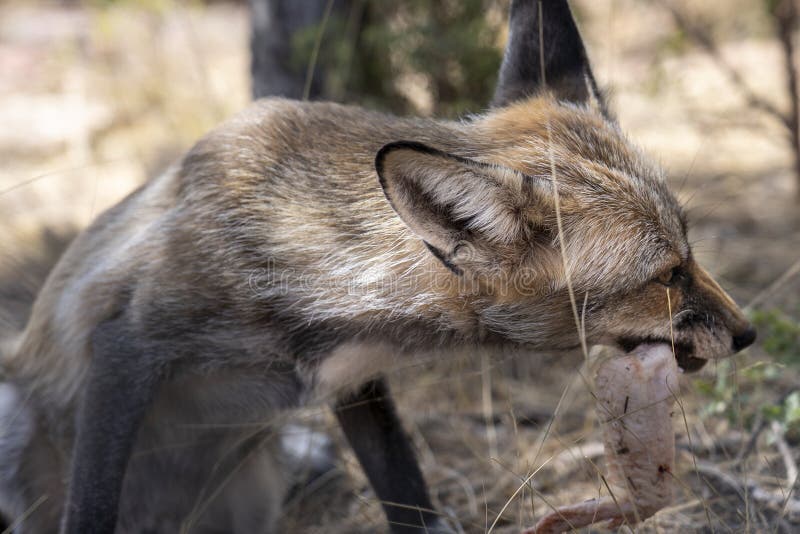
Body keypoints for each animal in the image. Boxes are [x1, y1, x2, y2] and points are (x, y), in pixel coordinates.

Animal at [0, 1, 756, 533]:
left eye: (690, 247)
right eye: (666, 276)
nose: (749, 335)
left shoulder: (354, 381)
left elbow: (412, 503)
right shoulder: (127, 343)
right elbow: (89, 510)